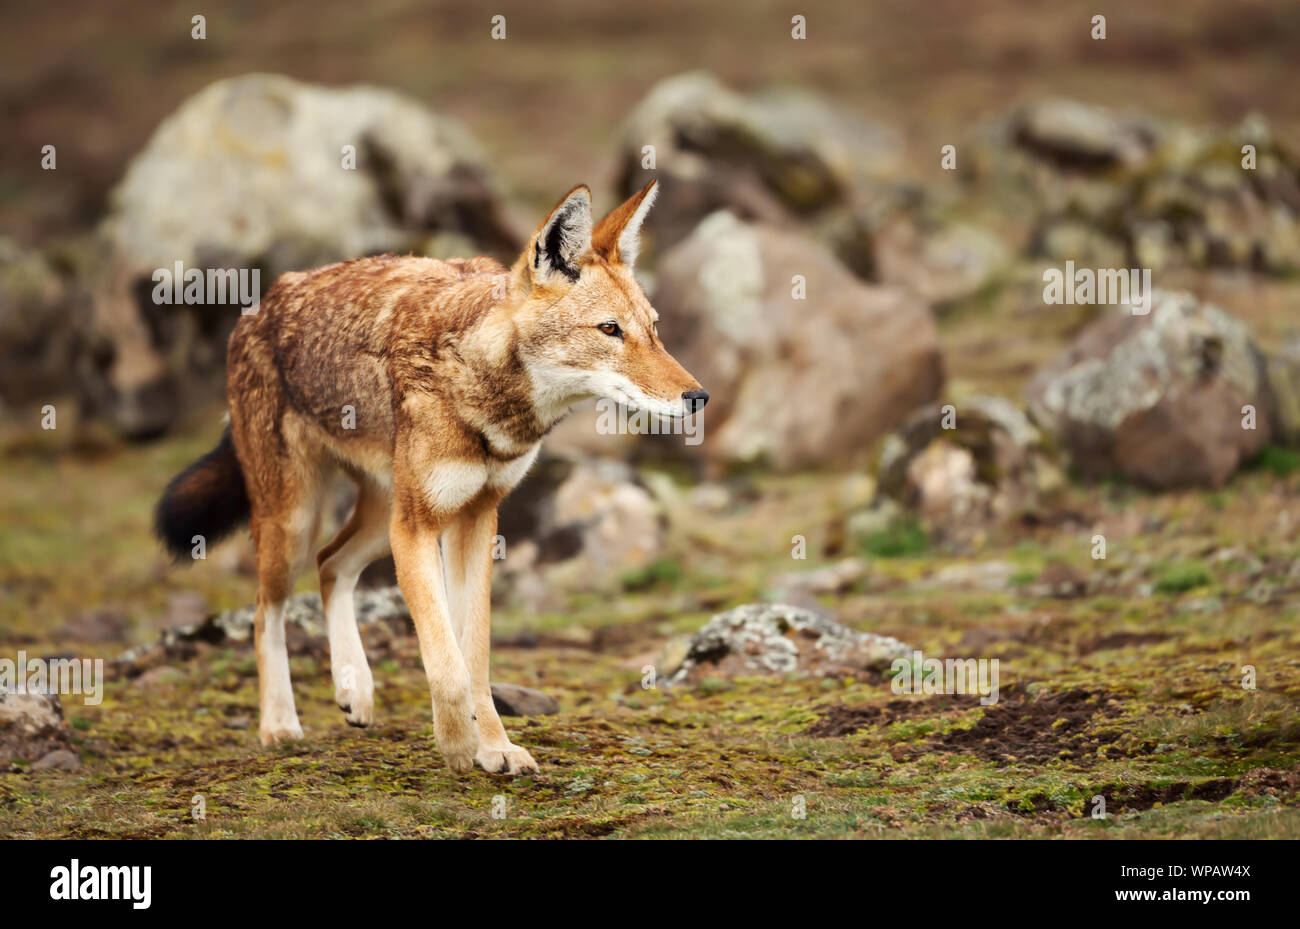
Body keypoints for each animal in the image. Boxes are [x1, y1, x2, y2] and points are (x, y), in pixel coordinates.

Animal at [154, 181, 706, 774]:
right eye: (610, 330)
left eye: (654, 330)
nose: (698, 398)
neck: (482, 392)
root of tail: (262, 302)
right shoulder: (419, 528)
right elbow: (446, 661)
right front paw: (459, 744)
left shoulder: (476, 522)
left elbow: (476, 655)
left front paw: (496, 747)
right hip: (299, 524)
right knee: (264, 612)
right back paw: (279, 724)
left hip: (378, 524)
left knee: (331, 565)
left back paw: (354, 688)